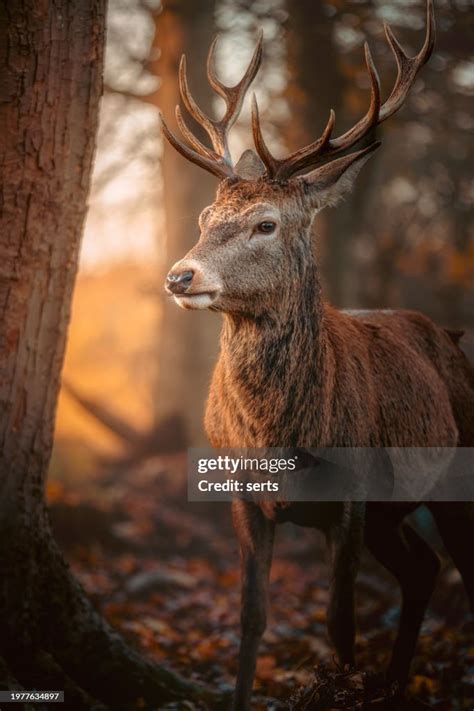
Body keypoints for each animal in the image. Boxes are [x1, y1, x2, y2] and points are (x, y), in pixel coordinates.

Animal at [160, 1, 474, 707]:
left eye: (266, 223)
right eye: (204, 217)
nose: (179, 276)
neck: (284, 438)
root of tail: (450, 335)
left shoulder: (353, 497)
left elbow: (340, 622)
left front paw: (343, 684)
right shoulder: (243, 496)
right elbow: (252, 617)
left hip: (457, 468)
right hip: (395, 509)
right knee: (423, 568)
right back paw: (393, 684)